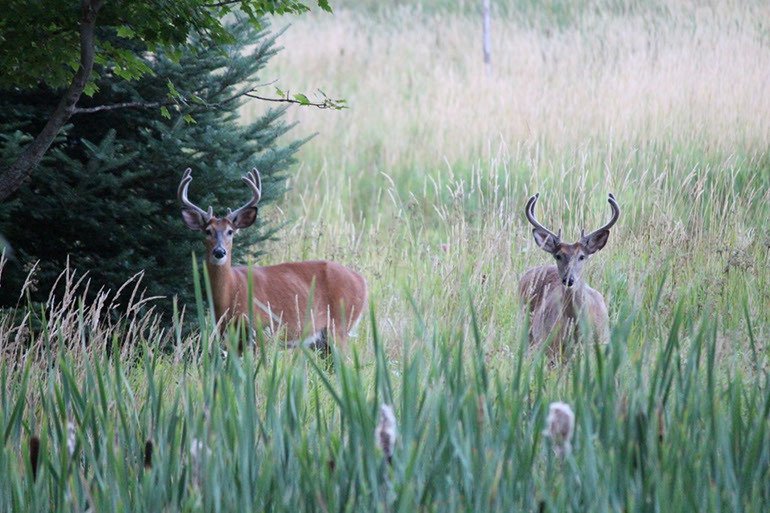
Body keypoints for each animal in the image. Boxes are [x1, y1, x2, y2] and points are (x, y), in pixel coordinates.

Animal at [178, 167, 368, 350]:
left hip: (340, 325)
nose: (219, 251)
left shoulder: (261, 329)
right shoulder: (230, 336)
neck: (230, 292)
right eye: (207, 231)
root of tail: (362, 280)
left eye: (230, 231)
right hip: (322, 341)